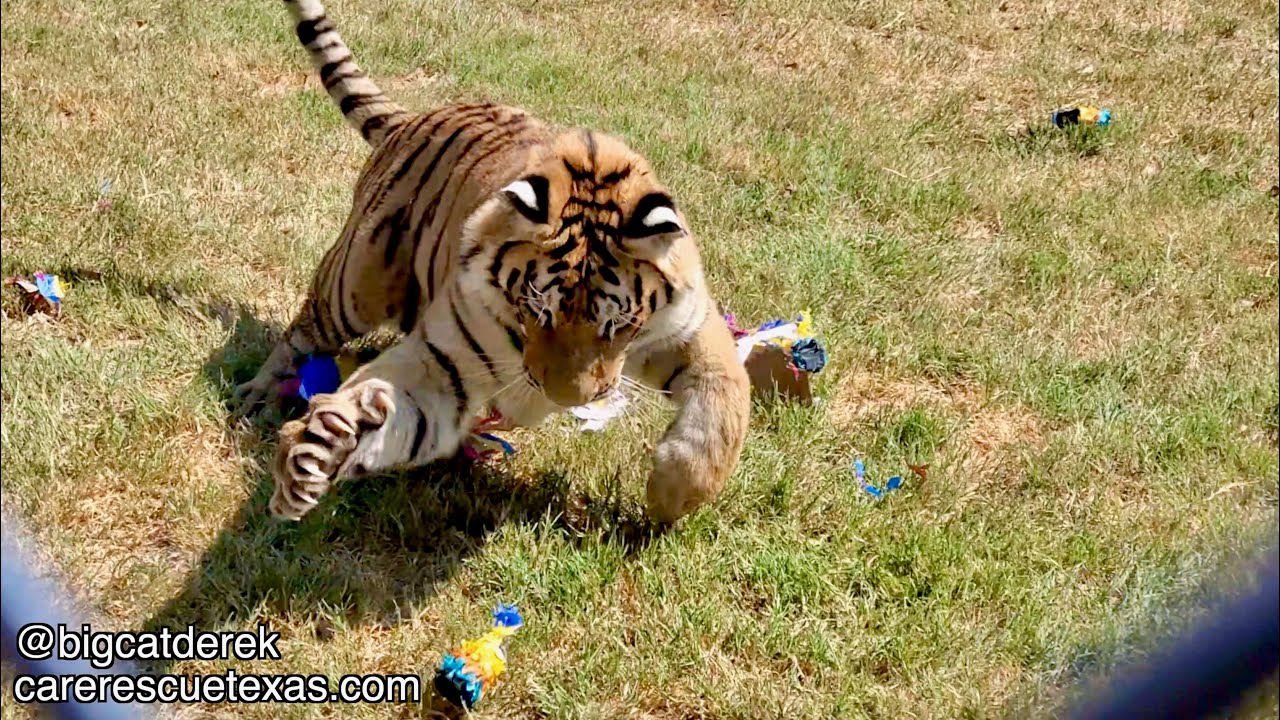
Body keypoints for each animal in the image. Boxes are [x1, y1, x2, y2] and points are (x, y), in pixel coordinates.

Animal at [234, 0, 751, 525]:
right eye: (538, 310)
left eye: (617, 324)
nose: (565, 401)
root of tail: (411, 119)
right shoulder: (446, 364)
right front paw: (313, 452)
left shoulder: (691, 327)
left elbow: (727, 399)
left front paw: (670, 497)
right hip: (353, 285)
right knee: (301, 332)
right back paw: (257, 395)